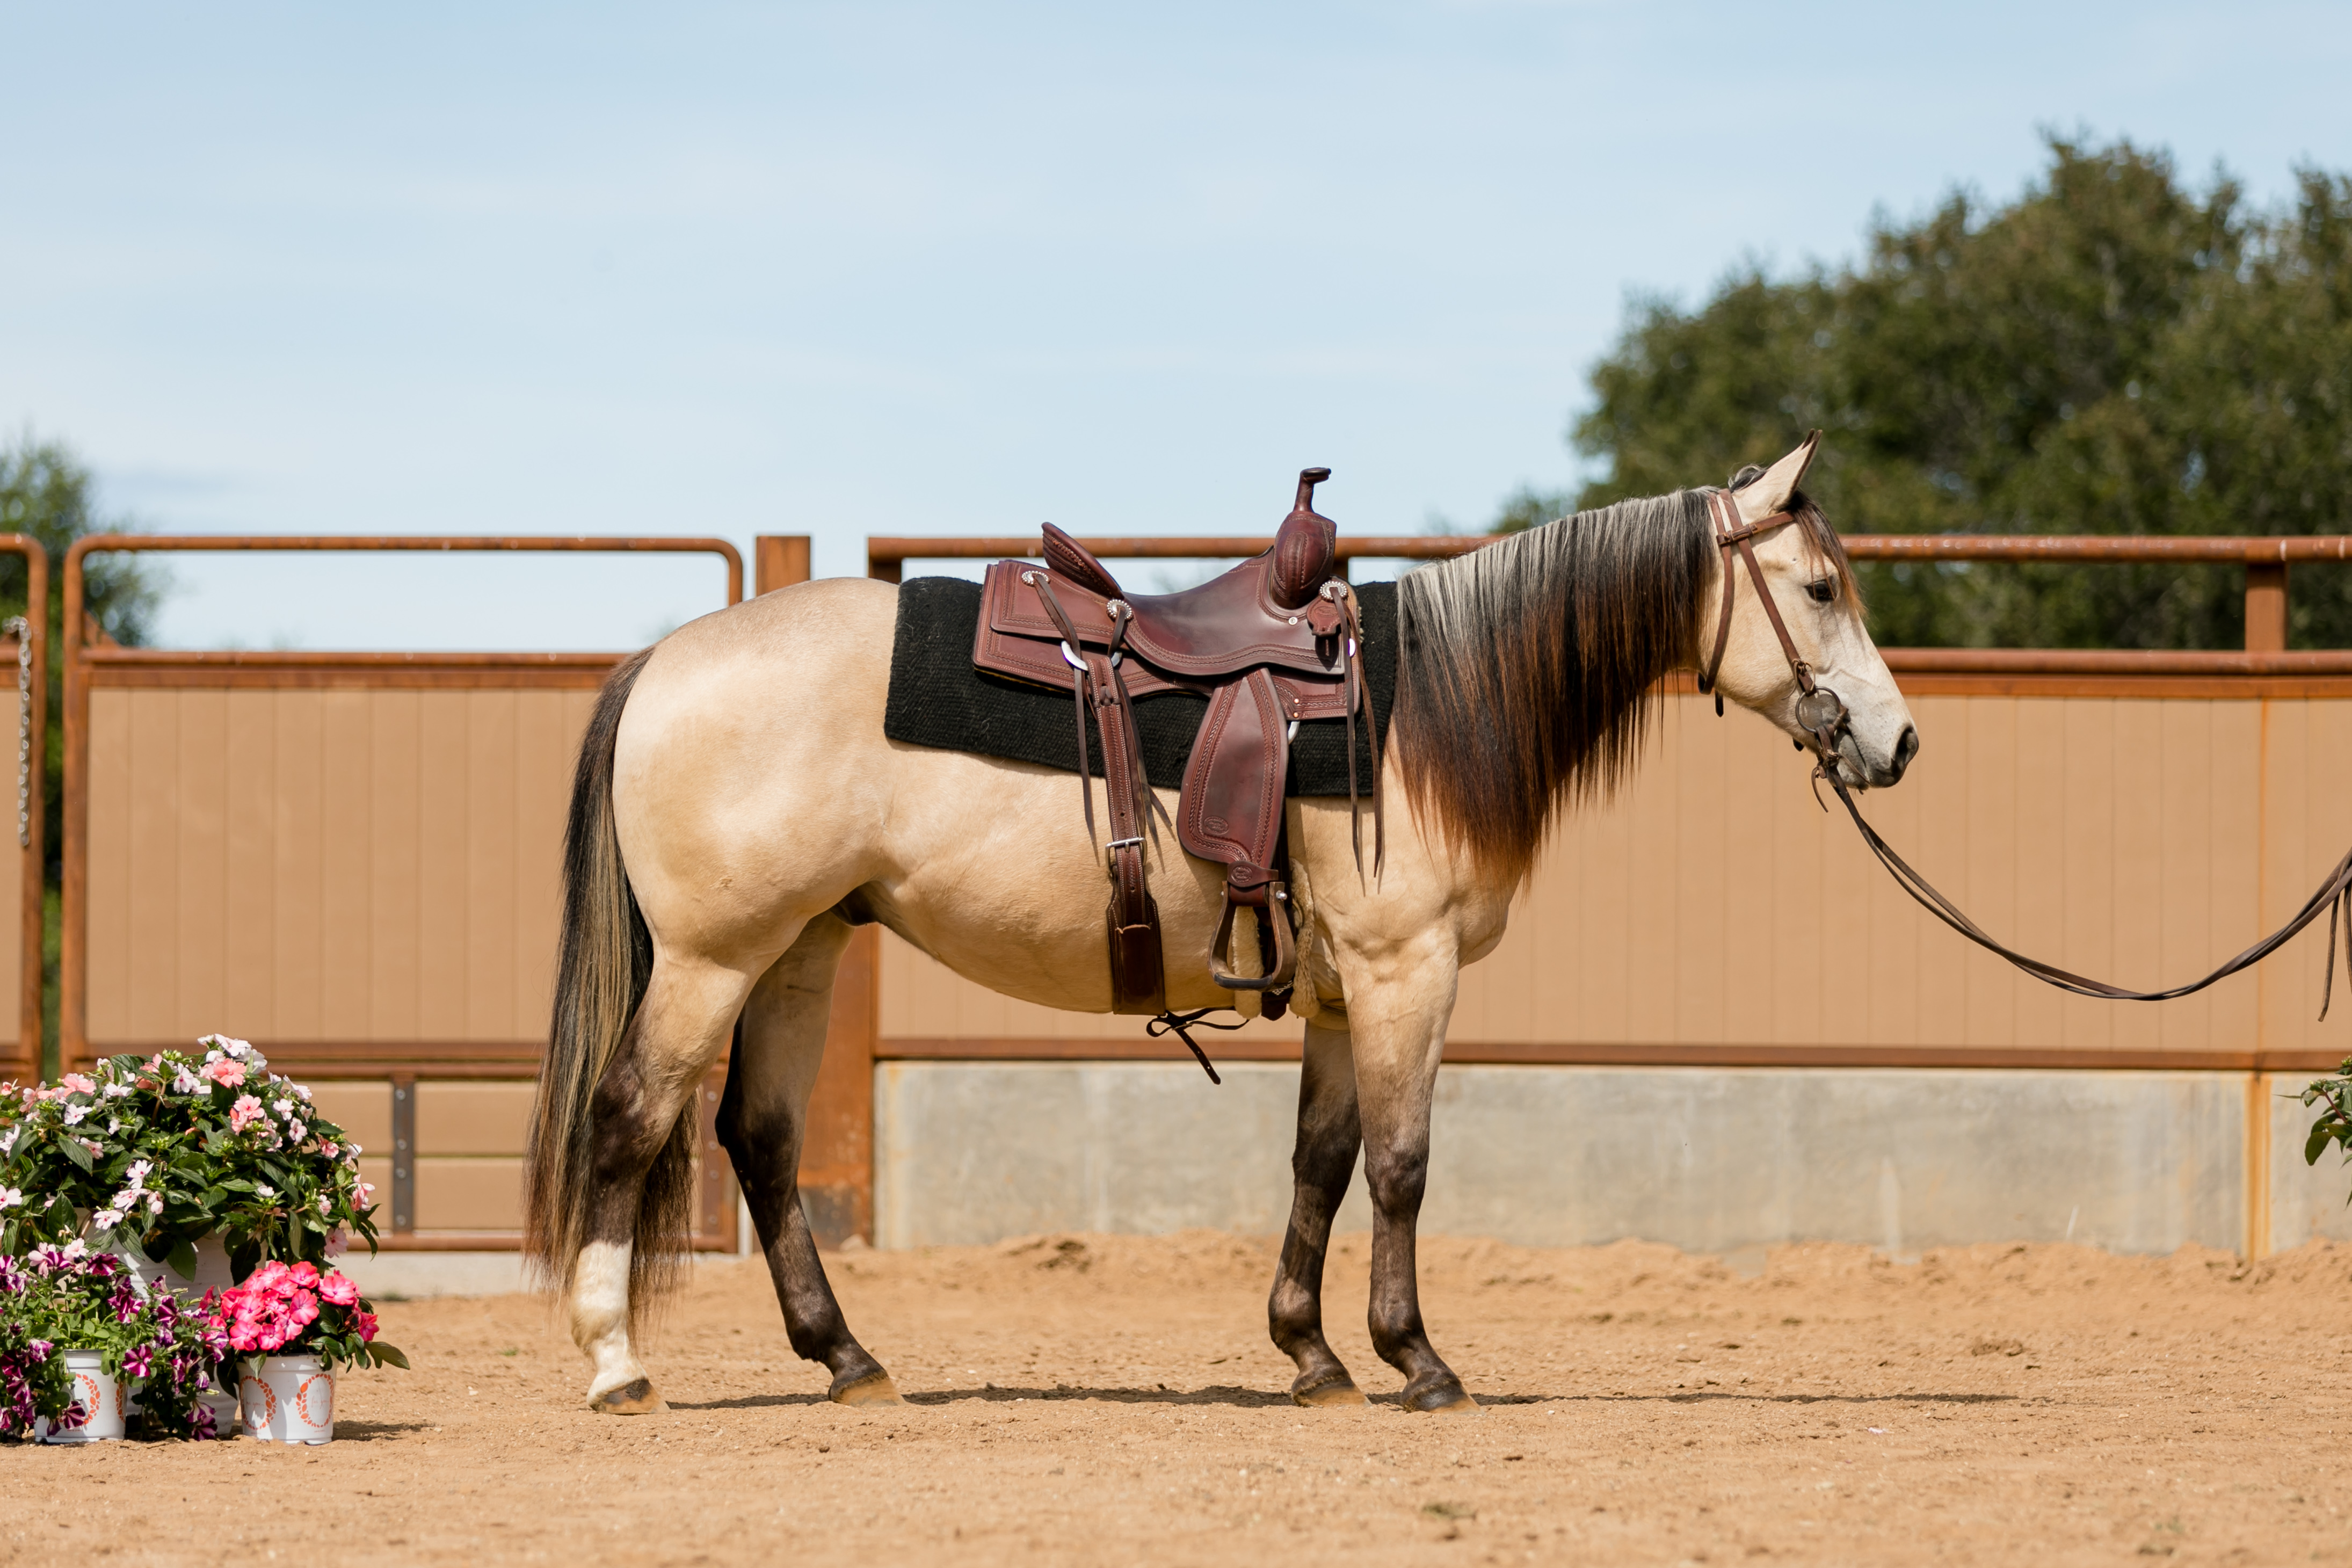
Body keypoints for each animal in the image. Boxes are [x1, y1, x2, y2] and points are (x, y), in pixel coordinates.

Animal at [523, 435, 1920, 1416]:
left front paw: (1311, 1354)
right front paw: (1418, 1359)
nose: (1897, 741)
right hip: (712, 959)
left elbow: (1321, 1161)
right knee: (630, 1116)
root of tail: (664, 660)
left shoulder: (1344, 992)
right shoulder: (1406, 973)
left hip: (797, 953)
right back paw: (616, 1364)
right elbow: (1403, 1165)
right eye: (1818, 586)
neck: (1426, 713)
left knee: (758, 1141)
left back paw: (848, 1357)